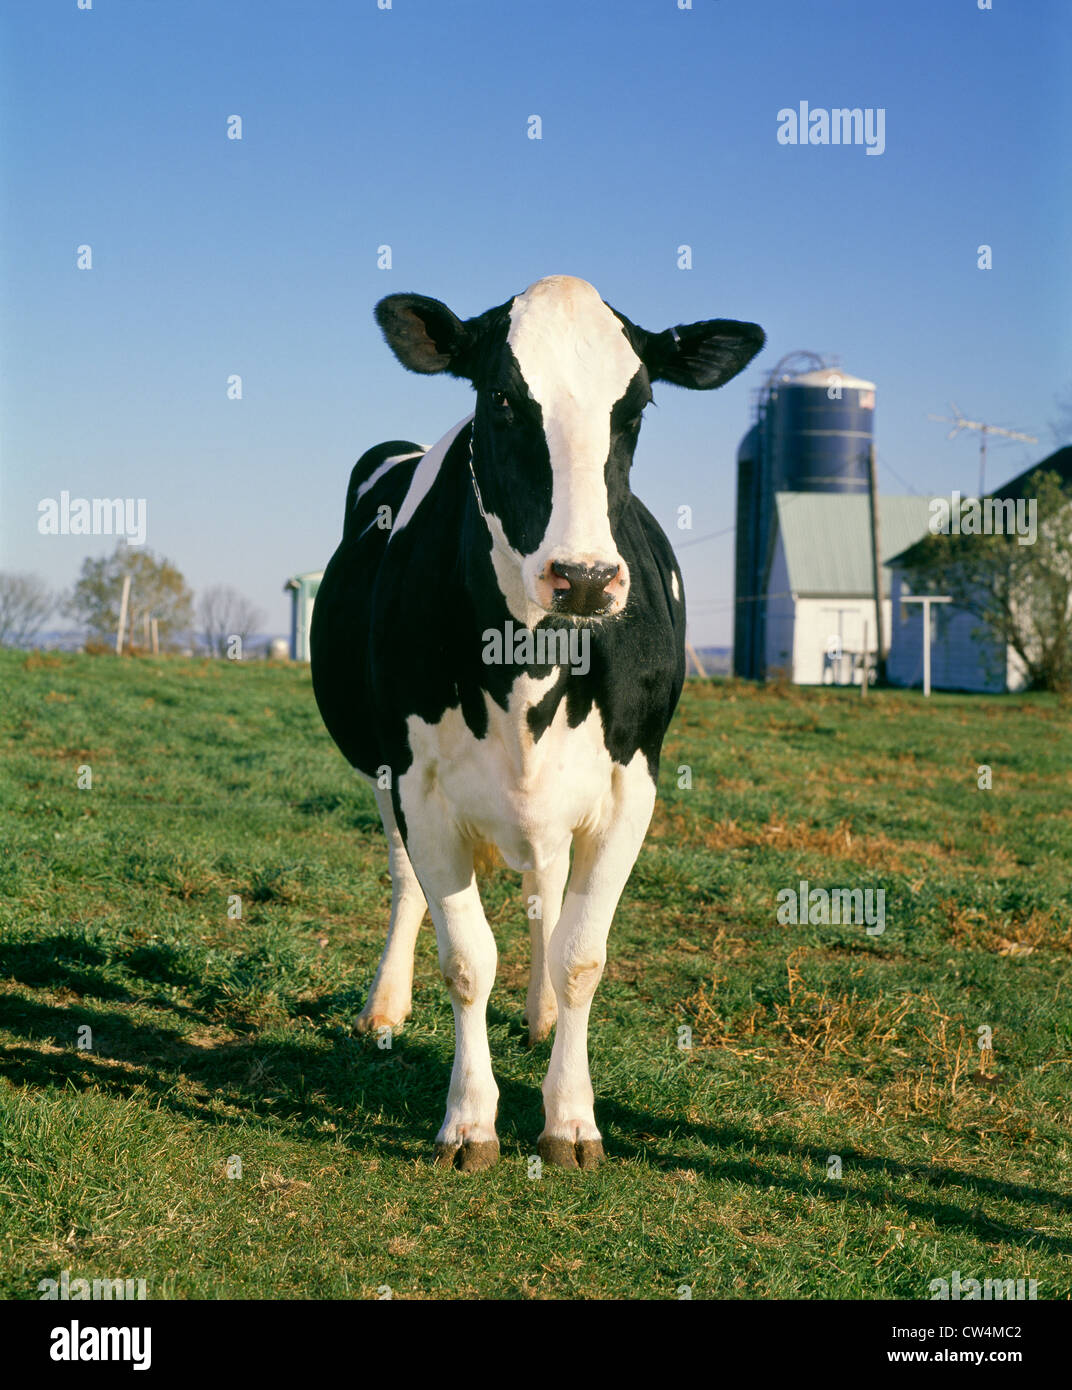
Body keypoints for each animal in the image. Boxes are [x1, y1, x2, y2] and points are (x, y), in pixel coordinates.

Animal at [311, 275, 764, 1171]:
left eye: (638, 405)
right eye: (501, 397)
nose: (583, 577)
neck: (528, 663)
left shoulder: (632, 787)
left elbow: (580, 955)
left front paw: (572, 1118)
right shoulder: (417, 783)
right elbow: (464, 958)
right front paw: (469, 1121)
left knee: (546, 893)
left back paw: (543, 1014)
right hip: (384, 776)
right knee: (407, 883)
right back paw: (385, 1006)